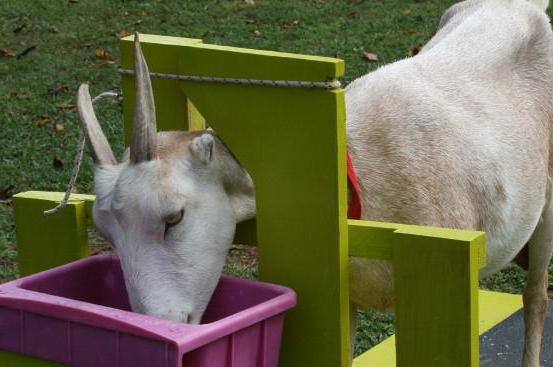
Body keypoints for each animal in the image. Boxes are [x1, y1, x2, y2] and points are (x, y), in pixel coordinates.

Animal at [80, 1, 552, 366]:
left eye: (174, 217)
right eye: (106, 232)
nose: (160, 326)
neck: (355, 175)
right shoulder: (346, 298)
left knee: (535, 297)